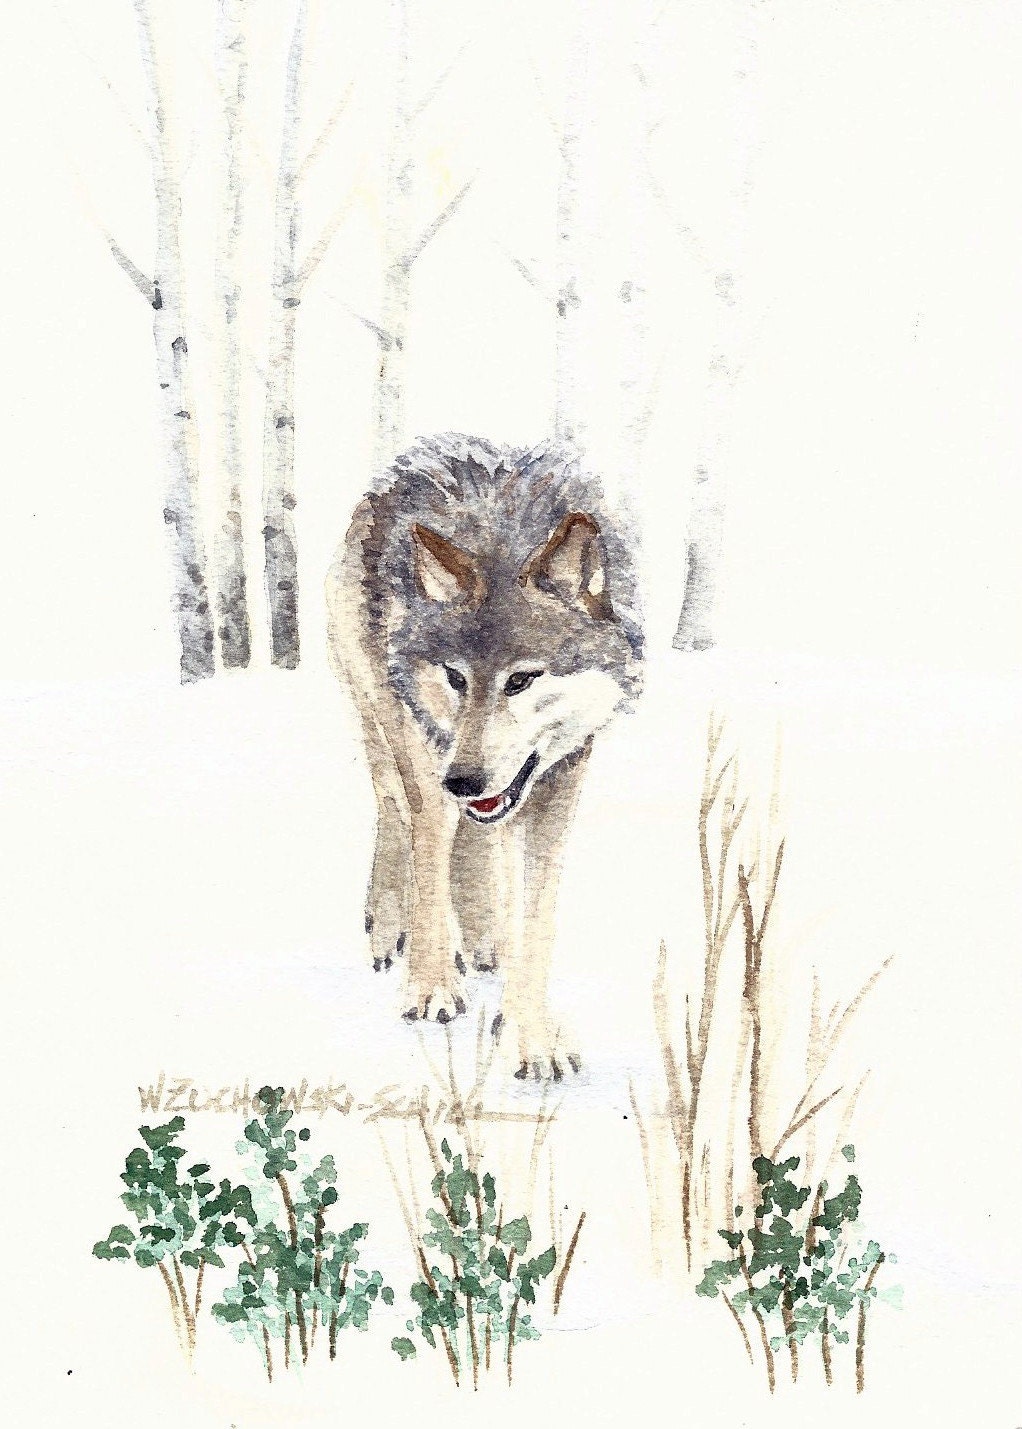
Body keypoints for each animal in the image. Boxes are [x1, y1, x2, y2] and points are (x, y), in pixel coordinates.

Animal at [326, 434, 643, 1078]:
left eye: (520, 680)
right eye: (455, 677)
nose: (465, 780)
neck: (500, 542)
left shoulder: (560, 785)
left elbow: (535, 916)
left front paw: (532, 1037)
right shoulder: (430, 765)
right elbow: (429, 859)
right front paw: (430, 990)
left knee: (475, 843)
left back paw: (482, 943)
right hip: (382, 721)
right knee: (397, 814)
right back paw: (392, 932)